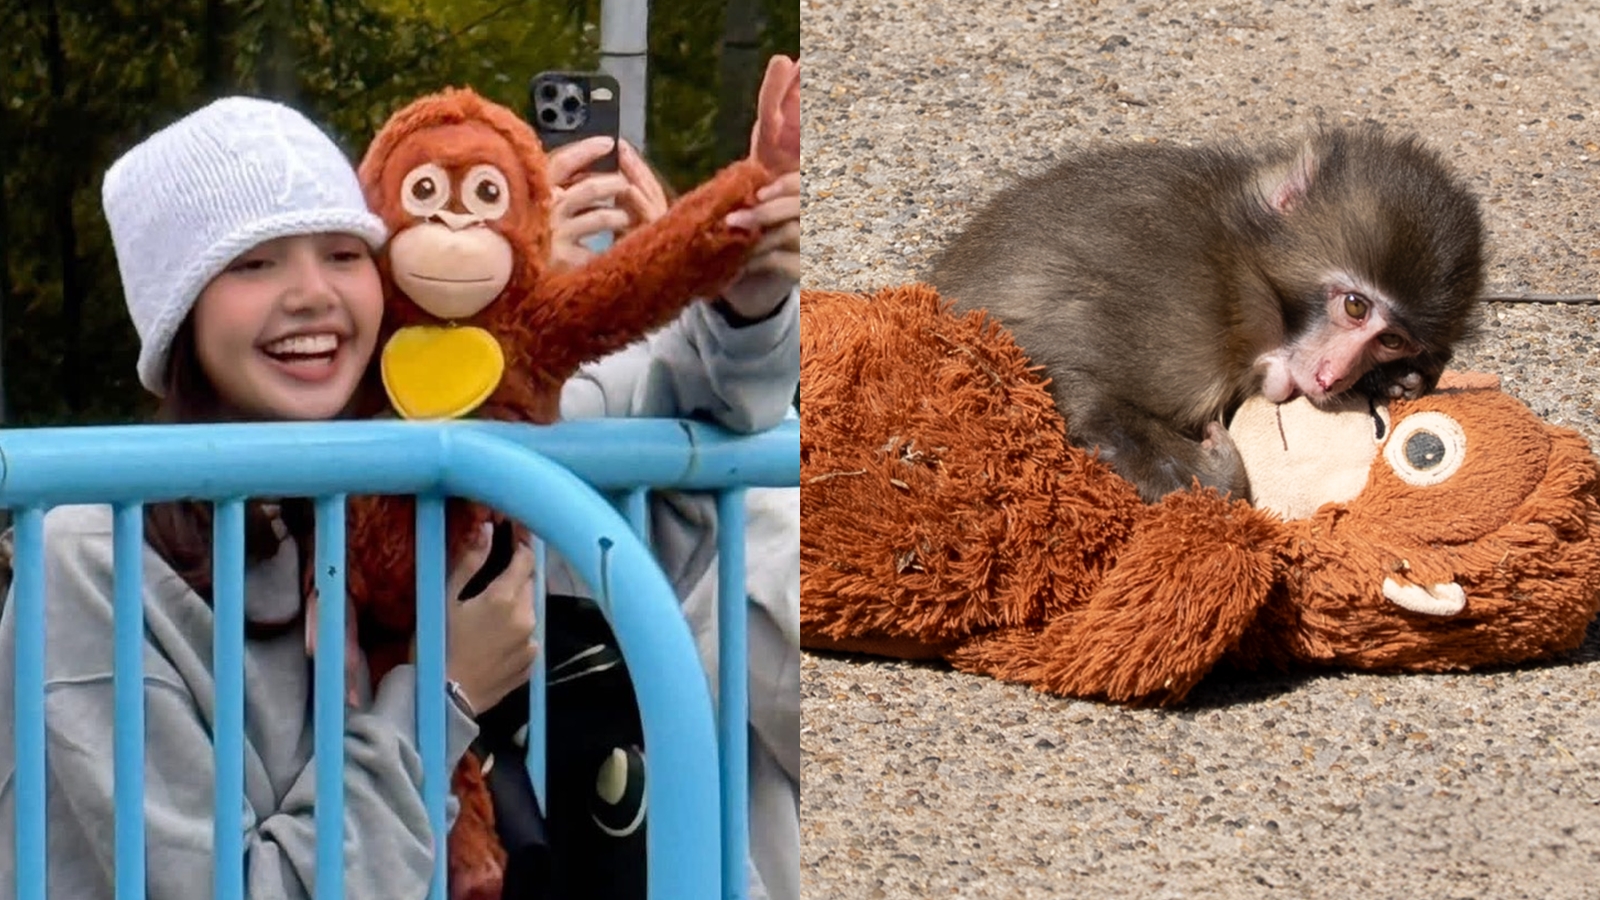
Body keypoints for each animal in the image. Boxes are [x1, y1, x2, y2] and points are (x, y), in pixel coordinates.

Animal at [928, 126, 1485, 504]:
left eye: (1391, 341)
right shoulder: (1180, 316)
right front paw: (1218, 474)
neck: (1239, 273)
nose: (1334, 376)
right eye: (1355, 306)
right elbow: (1069, 383)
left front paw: (1397, 380)